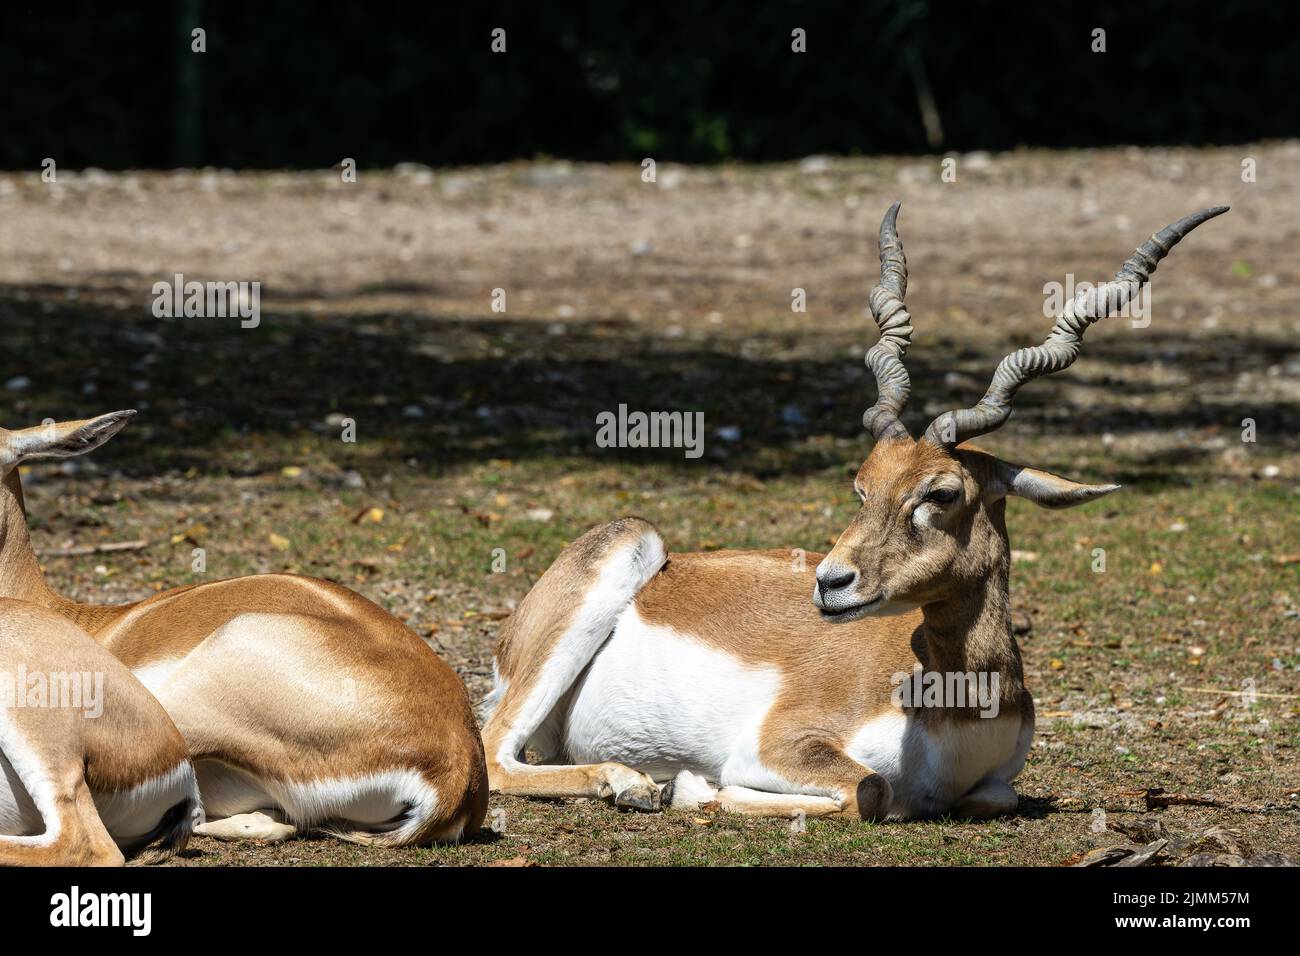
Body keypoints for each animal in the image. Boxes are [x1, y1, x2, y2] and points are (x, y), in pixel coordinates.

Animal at [482, 202, 1227, 821]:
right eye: (861, 487)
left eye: (941, 493)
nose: (831, 582)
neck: (953, 708)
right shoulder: (776, 745)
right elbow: (868, 790)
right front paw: (693, 787)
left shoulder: (996, 785)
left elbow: (994, 797)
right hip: (622, 558)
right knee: (494, 753)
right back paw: (632, 783)